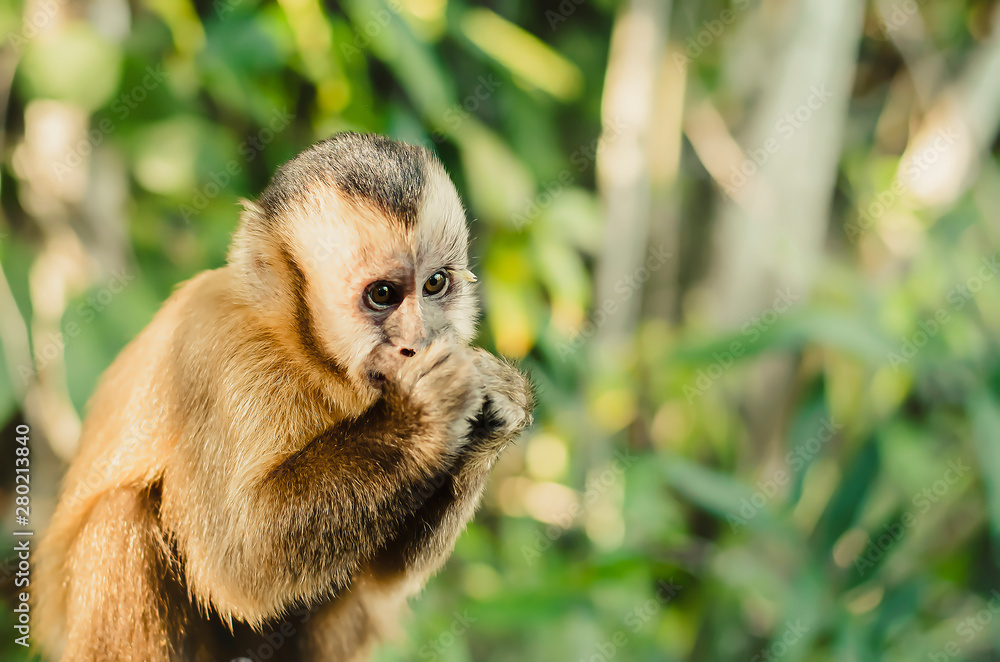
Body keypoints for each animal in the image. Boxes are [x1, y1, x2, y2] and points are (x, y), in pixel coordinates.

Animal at [33, 132, 534, 662]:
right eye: (382, 294)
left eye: (435, 283)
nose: (418, 341)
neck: (303, 352)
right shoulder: (221, 353)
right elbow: (240, 563)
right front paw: (424, 412)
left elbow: (382, 578)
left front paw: (498, 409)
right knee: (121, 512)